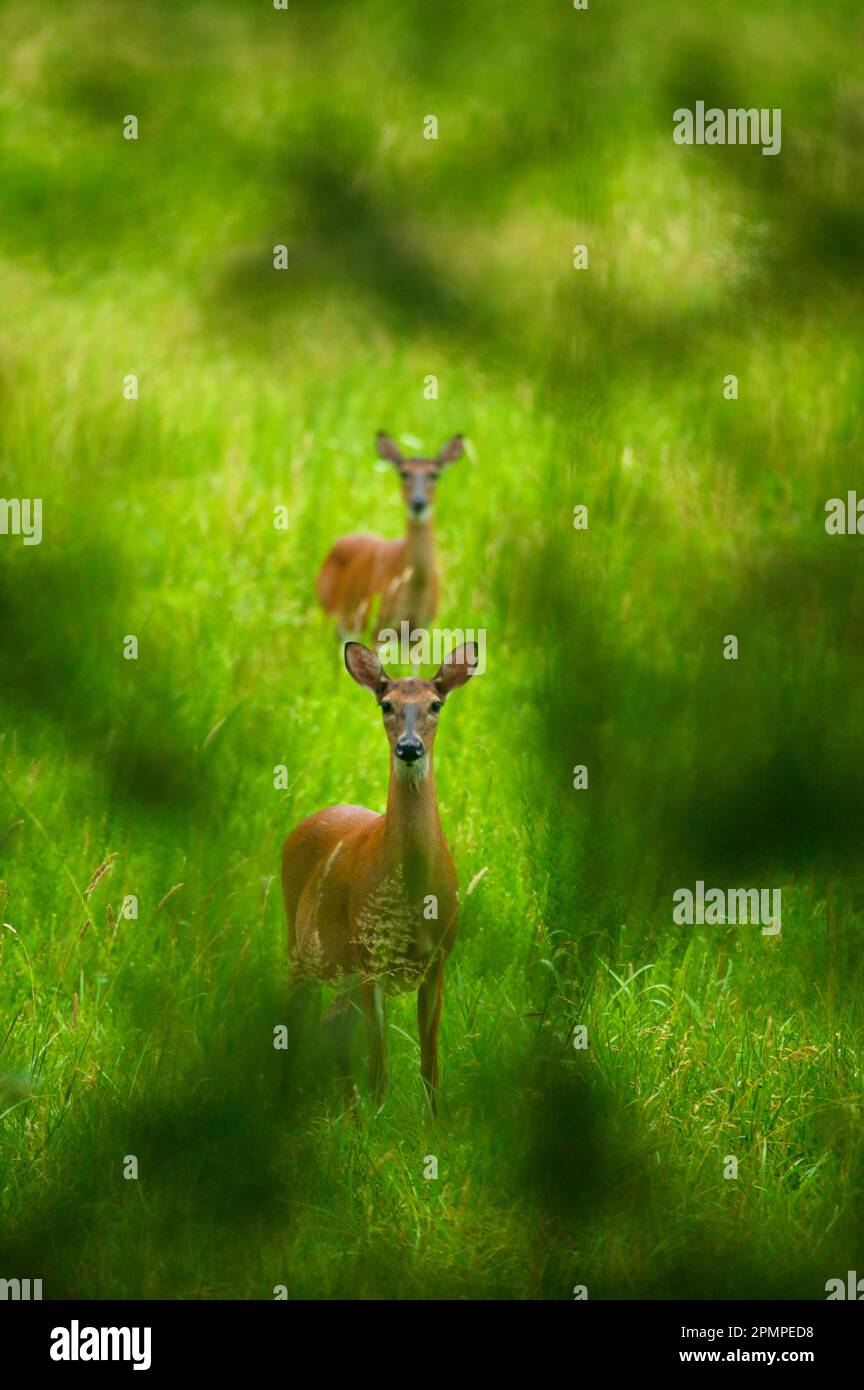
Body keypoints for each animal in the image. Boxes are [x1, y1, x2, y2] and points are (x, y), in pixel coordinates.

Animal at [281, 638, 478, 1114]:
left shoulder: (438, 958)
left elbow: (430, 1063)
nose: (408, 748)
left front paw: (433, 1122)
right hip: (300, 946)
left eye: (435, 704)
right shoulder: (372, 954)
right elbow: (380, 1066)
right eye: (385, 704)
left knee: (331, 1019)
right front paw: (379, 1119)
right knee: (294, 1021)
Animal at [316, 431, 464, 639]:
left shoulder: (420, 629)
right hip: (331, 613)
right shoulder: (377, 624)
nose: (418, 503)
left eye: (434, 475)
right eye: (404, 473)